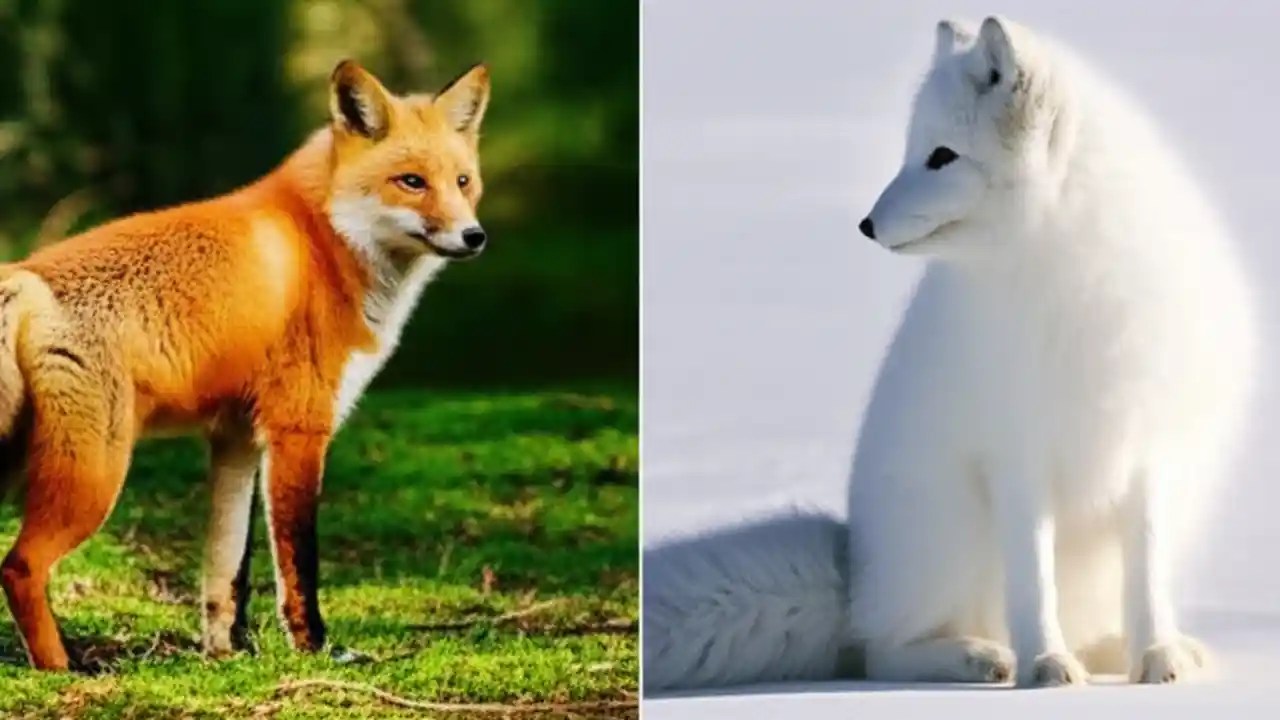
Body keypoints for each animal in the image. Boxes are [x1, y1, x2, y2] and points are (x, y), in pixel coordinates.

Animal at [0, 59, 491, 670]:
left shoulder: (235, 438)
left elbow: (225, 570)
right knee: (20, 566)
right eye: (412, 182)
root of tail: (23, 275)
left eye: (463, 182)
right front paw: (314, 649)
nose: (474, 236)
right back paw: (64, 669)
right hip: (92, 477)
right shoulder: (298, 430)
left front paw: (225, 654)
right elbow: (297, 564)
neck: (325, 241)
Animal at [645, 16, 1256, 690]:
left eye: (942, 156)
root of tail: (853, 570)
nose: (866, 225)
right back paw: (981, 657)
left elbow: (1146, 575)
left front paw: (1158, 655)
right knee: (881, 652)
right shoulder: (1015, 455)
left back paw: (1118, 650)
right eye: (914, 149)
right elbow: (1031, 583)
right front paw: (1046, 665)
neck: (1073, 282)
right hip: (951, 536)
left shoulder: (1149, 449)